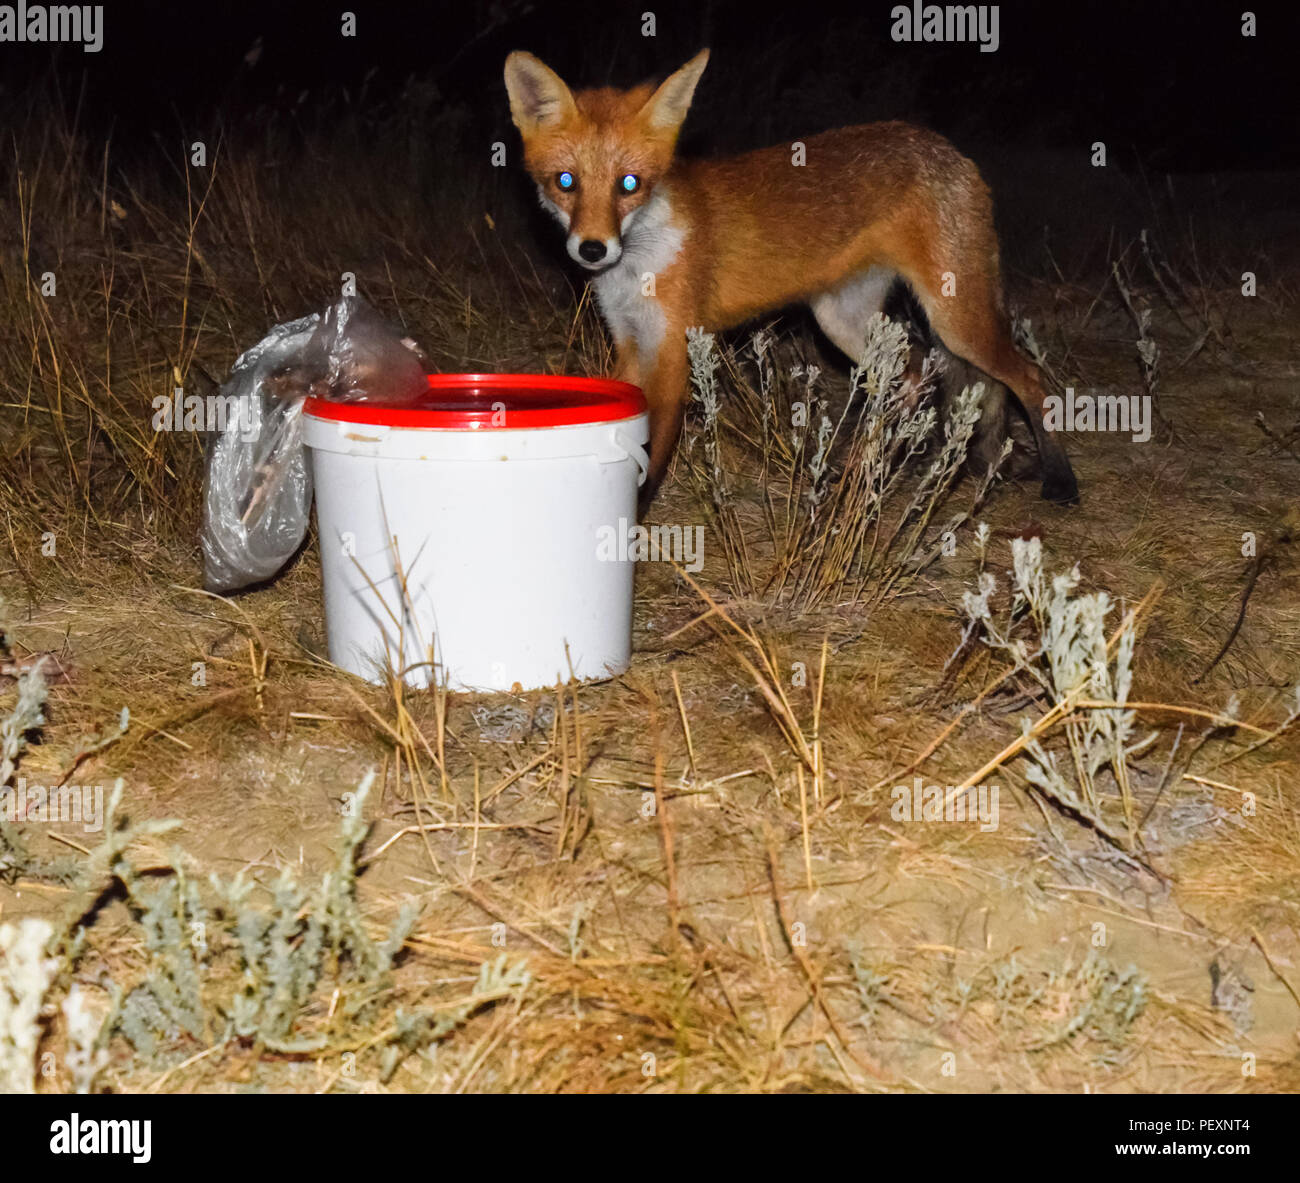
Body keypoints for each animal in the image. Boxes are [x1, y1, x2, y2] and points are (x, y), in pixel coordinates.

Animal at [503, 48, 1079, 511]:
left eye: (629, 184)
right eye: (565, 182)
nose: (593, 249)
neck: (641, 258)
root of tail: (949, 150)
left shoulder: (671, 350)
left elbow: (655, 447)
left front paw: (635, 522)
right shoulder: (628, 341)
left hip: (957, 321)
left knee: (1030, 377)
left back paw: (1059, 481)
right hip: (842, 321)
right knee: (914, 374)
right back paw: (868, 474)